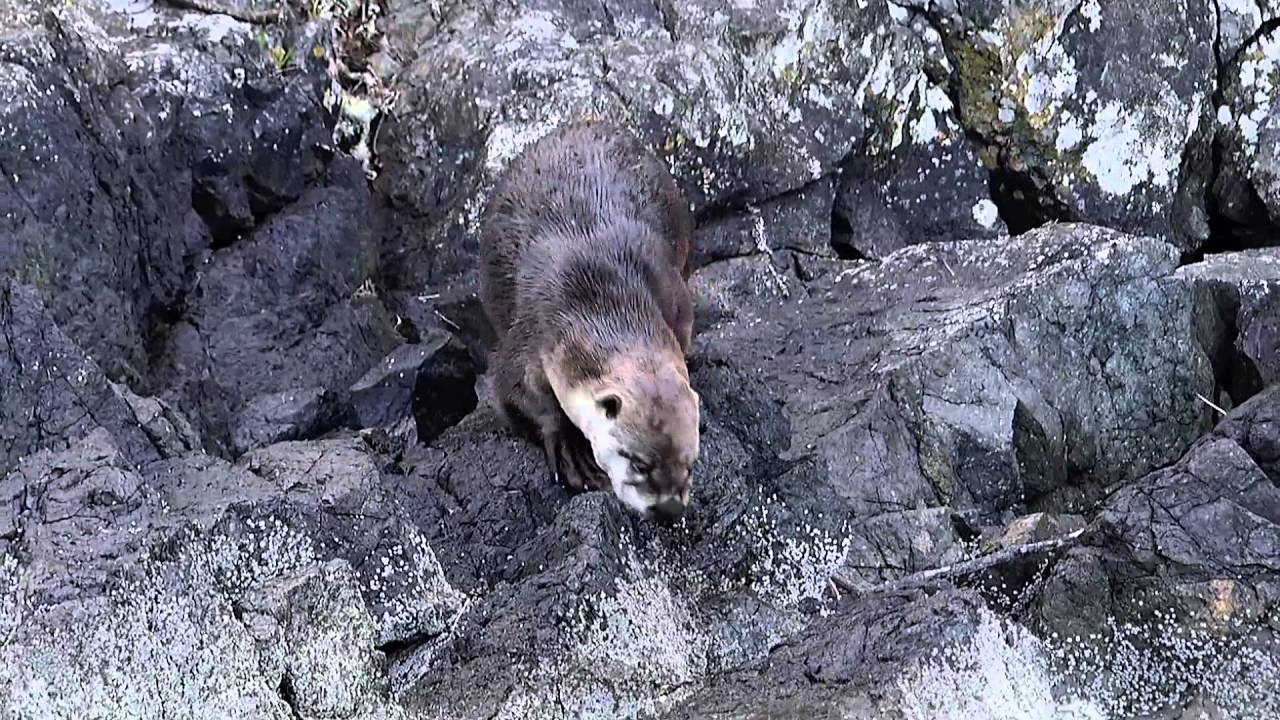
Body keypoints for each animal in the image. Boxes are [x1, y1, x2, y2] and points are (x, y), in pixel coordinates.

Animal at [479, 120, 699, 521]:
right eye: (638, 462)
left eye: (689, 464)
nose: (669, 508)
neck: (593, 290)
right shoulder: (530, 336)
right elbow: (514, 395)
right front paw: (570, 448)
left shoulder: (675, 301)